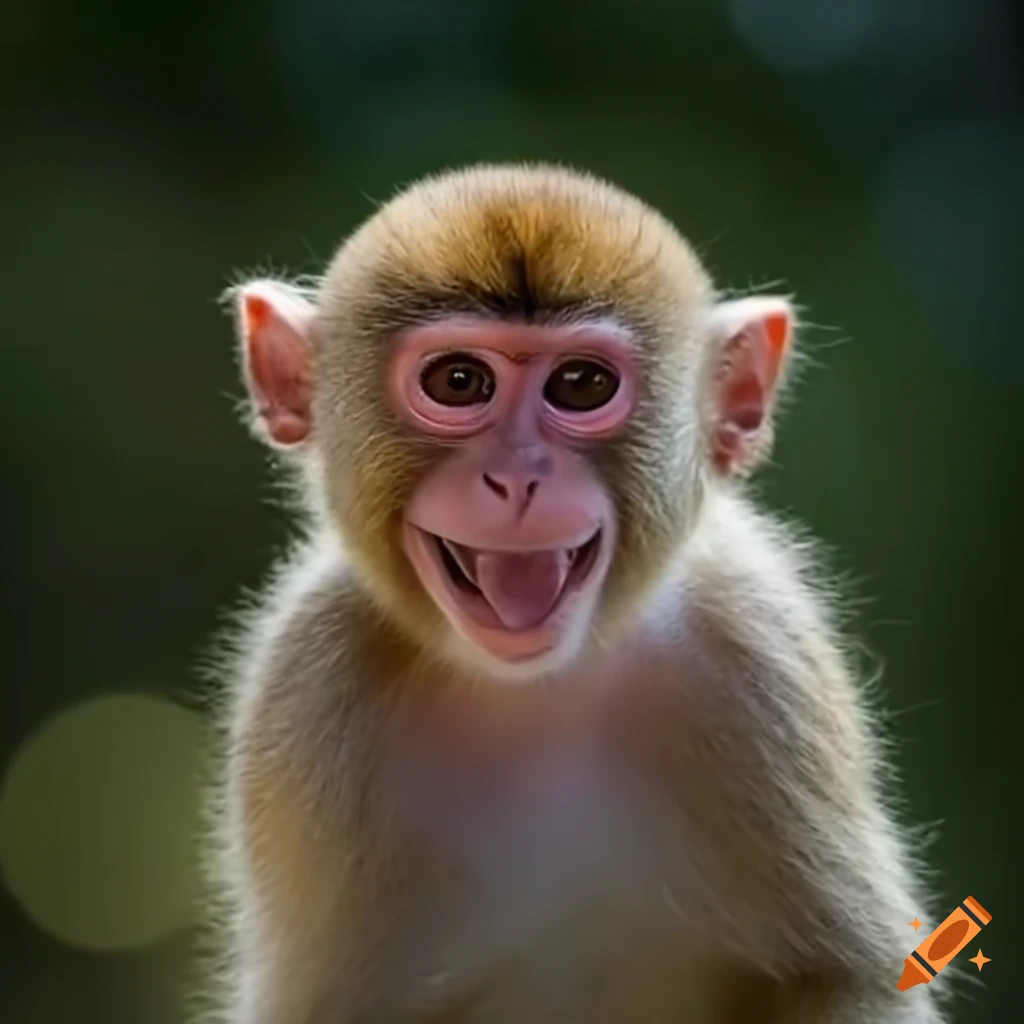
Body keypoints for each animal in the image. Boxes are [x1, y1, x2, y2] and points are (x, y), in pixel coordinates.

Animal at [208, 163, 948, 1023]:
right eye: (458, 381)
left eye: (582, 384)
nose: (518, 475)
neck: (537, 692)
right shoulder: (307, 684)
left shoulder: (756, 644)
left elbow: (846, 979)